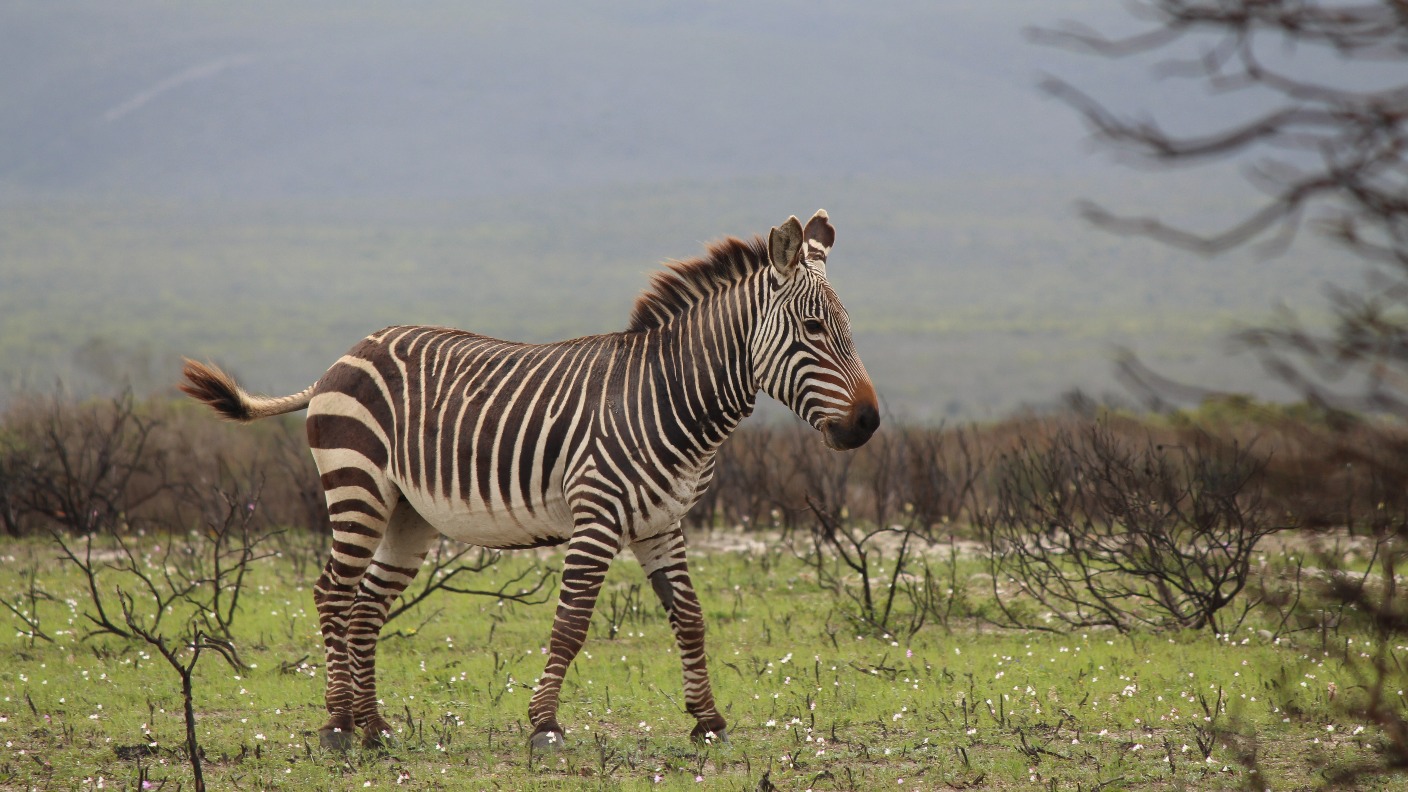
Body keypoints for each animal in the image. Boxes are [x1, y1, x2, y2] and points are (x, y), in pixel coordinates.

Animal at [179, 210, 879, 751]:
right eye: (814, 328)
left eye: (848, 327)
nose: (869, 423)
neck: (671, 397)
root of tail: (343, 357)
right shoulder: (598, 515)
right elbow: (571, 622)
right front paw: (544, 725)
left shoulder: (662, 523)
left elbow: (689, 617)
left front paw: (707, 721)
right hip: (357, 488)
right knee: (332, 593)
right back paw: (335, 726)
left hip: (409, 514)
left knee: (367, 604)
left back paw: (374, 726)